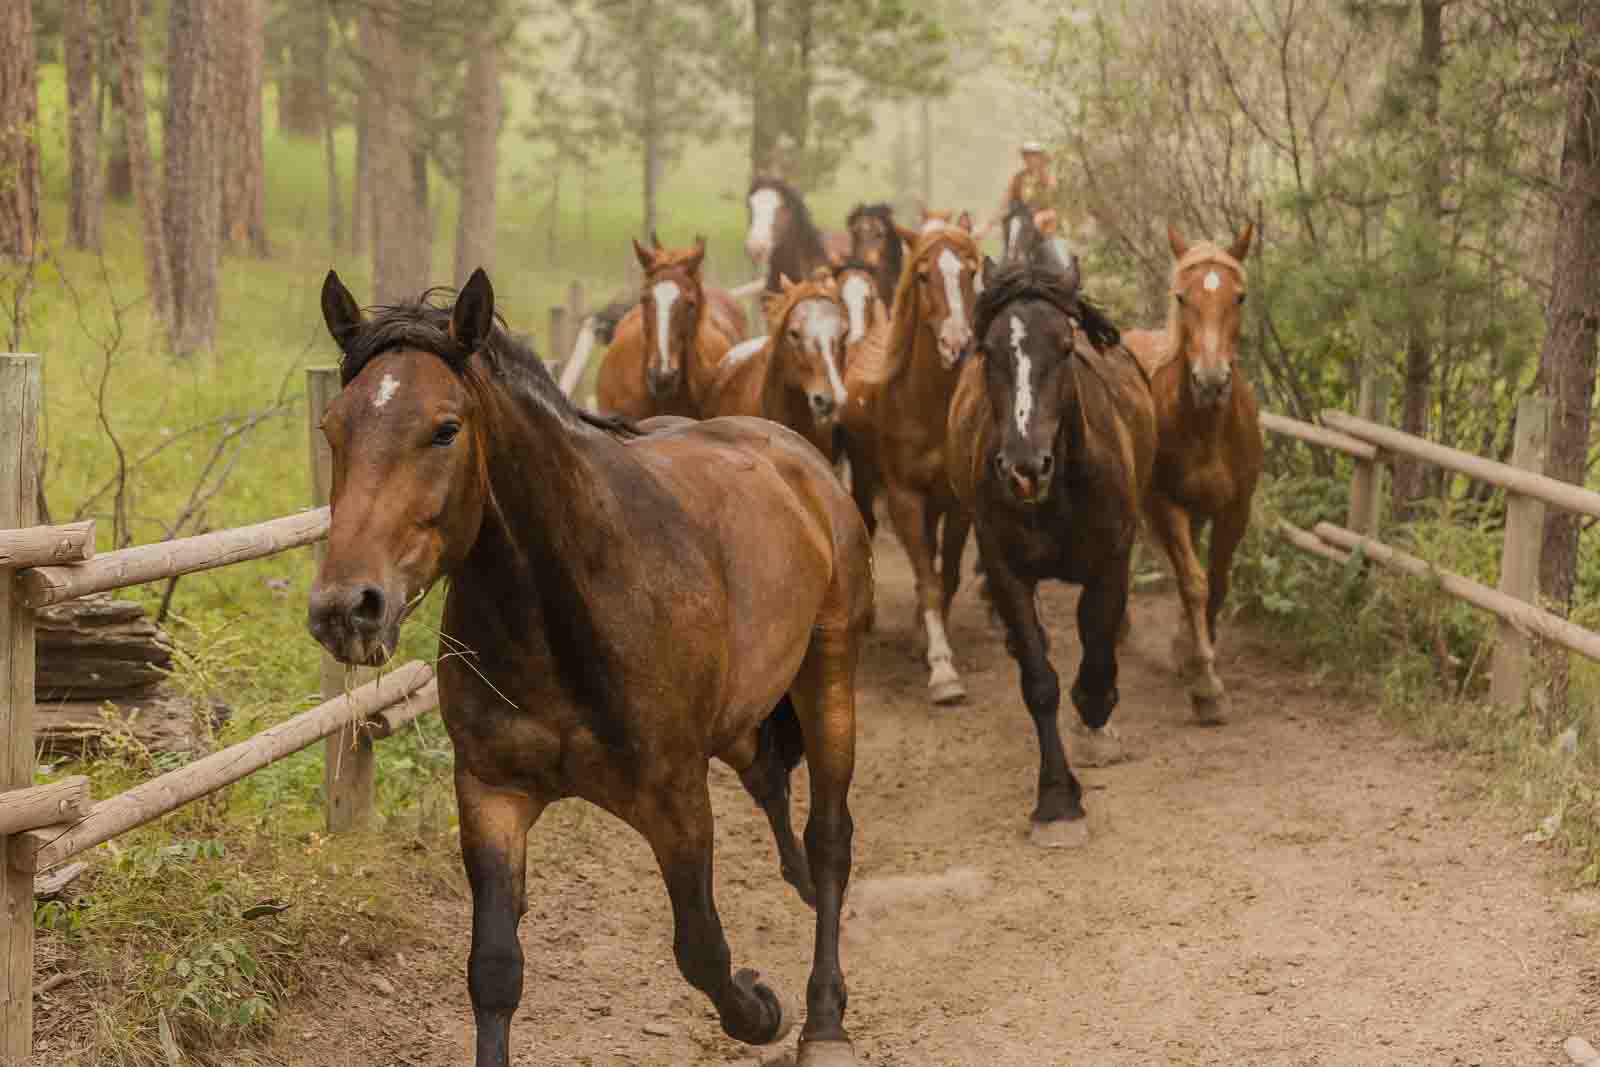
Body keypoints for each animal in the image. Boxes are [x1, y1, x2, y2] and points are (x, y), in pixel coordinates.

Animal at [843, 222, 981, 704]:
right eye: (922, 276)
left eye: (971, 273)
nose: (956, 344)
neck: (932, 405)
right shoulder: (905, 498)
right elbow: (928, 578)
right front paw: (942, 671)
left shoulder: (958, 503)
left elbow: (947, 575)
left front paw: (929, 641)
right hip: (863, 477)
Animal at [947, 258, 1156, 846]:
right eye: (989, 349)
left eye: (1064, 346)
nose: (1024, 466)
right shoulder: (1006, 569)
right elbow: (1040, 682)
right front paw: (1058, 801)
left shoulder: (1111, 561)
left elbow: (1098, 649)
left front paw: (1096, 719)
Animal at [1120, 223, 1261, 723]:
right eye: (1182, 297)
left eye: (1239, 296)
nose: (1211, 381)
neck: (1206, 427)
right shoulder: (1167, 505)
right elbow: (1194, 583)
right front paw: (1207, 688)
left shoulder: (1235, 509)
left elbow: (1216, 581)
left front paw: (1193, 651)